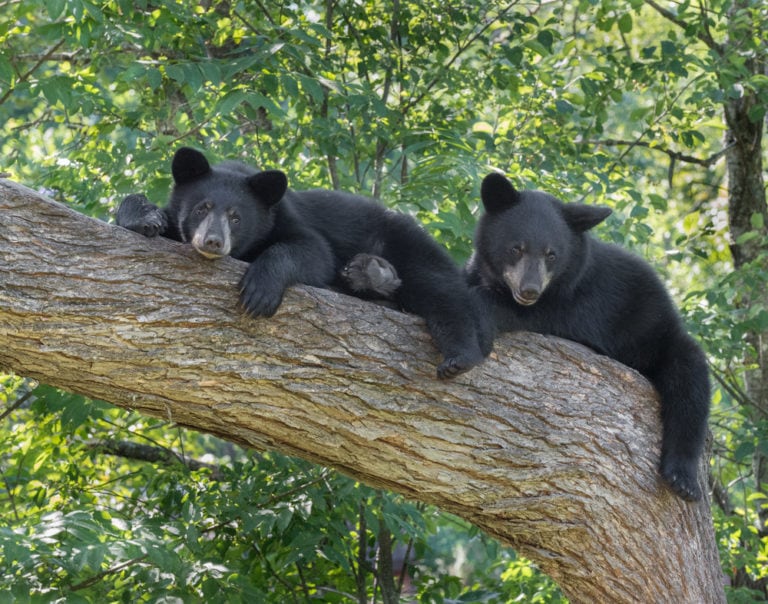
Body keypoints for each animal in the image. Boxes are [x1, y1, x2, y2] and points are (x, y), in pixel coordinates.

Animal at [115, 146, 489, 379]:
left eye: (236, 217)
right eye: (201, 208)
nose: (213, 242)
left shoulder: (286, 217)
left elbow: (314, 251)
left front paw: (259, 292)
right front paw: (143, 217)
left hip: (410, 245)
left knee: (441, 293)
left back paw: (459, 356)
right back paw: (371, 276)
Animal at [466, 172, 711, 501]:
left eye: (551, 254)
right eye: (516, 248)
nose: (529, 290)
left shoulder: (574, 304)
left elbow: (522, 311)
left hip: (661, 339)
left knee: (690, 385)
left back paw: (682, 476)